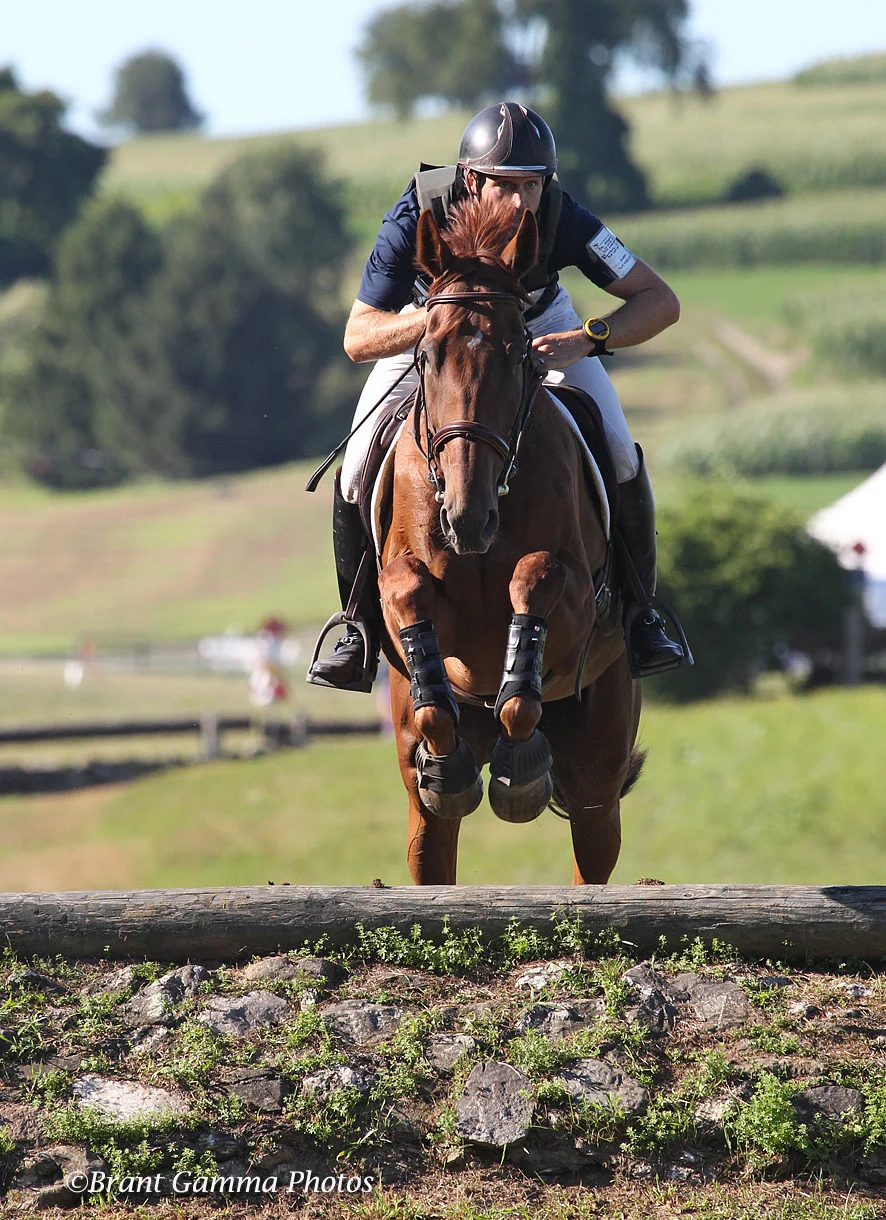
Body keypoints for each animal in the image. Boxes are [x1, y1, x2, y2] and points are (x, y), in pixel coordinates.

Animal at [376, 196, 642, 886]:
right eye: (426, 355)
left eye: (519, 354)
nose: (466, 517)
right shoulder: (407, 590)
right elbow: (407, 594)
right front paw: (452, 769)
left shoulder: (578, 602)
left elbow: (535, 580)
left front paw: (519, 770)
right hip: (418, 796)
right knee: (431, 842)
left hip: (600, 746)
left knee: (593, 839)